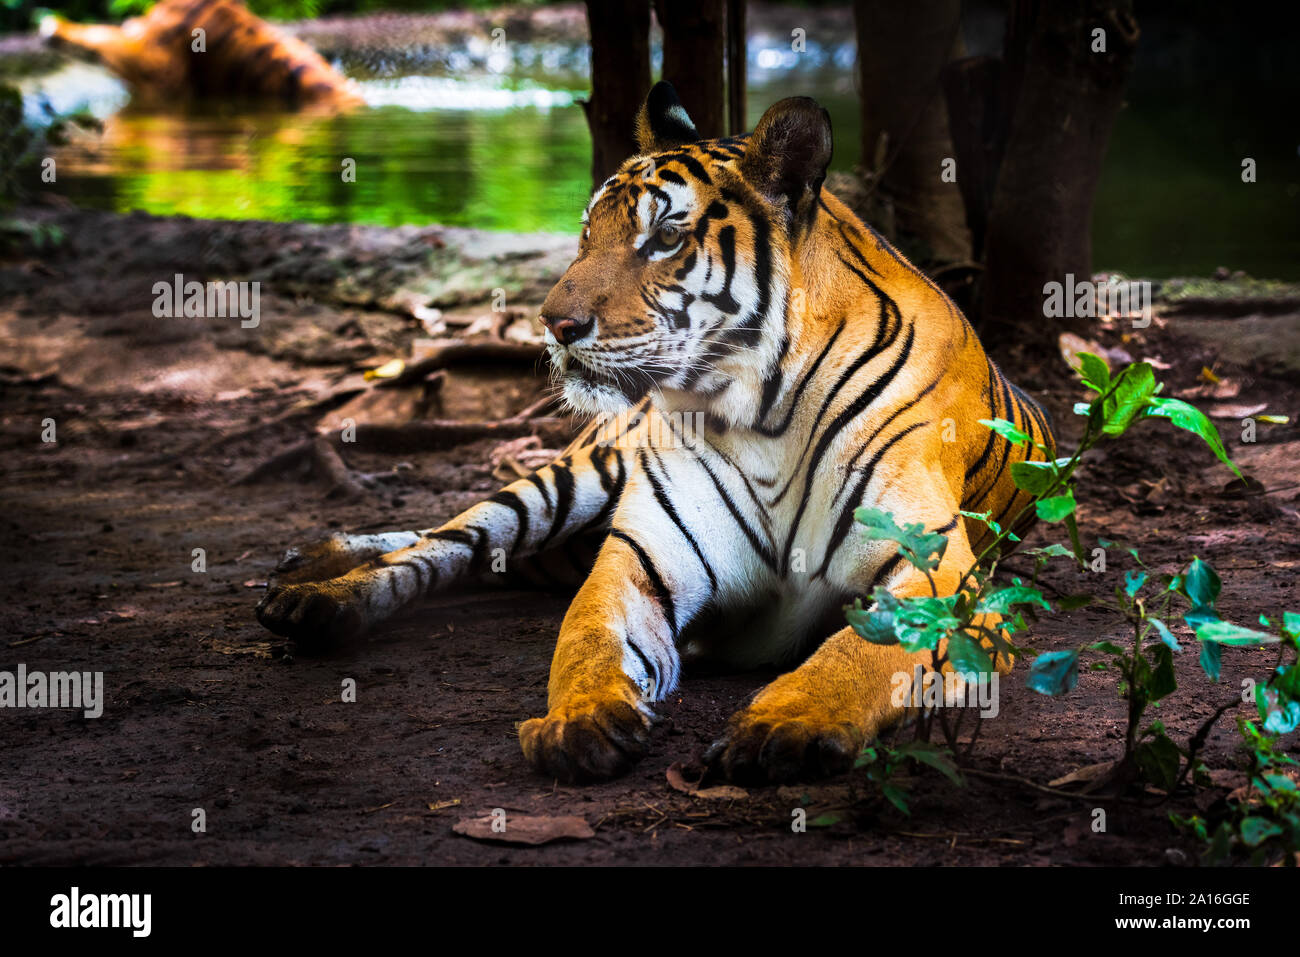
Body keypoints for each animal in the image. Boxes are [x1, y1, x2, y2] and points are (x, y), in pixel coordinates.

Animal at [256, 81, 1056, 784]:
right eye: (588, 231)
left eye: (666, 235)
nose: (553, 324)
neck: (762, 408)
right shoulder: (640, 556)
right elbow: (586, 640)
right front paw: (578, 722)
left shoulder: (935, 574)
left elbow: (858, 654)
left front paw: (785, 725)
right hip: (578, 476)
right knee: (447, 540)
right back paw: (315, 588)